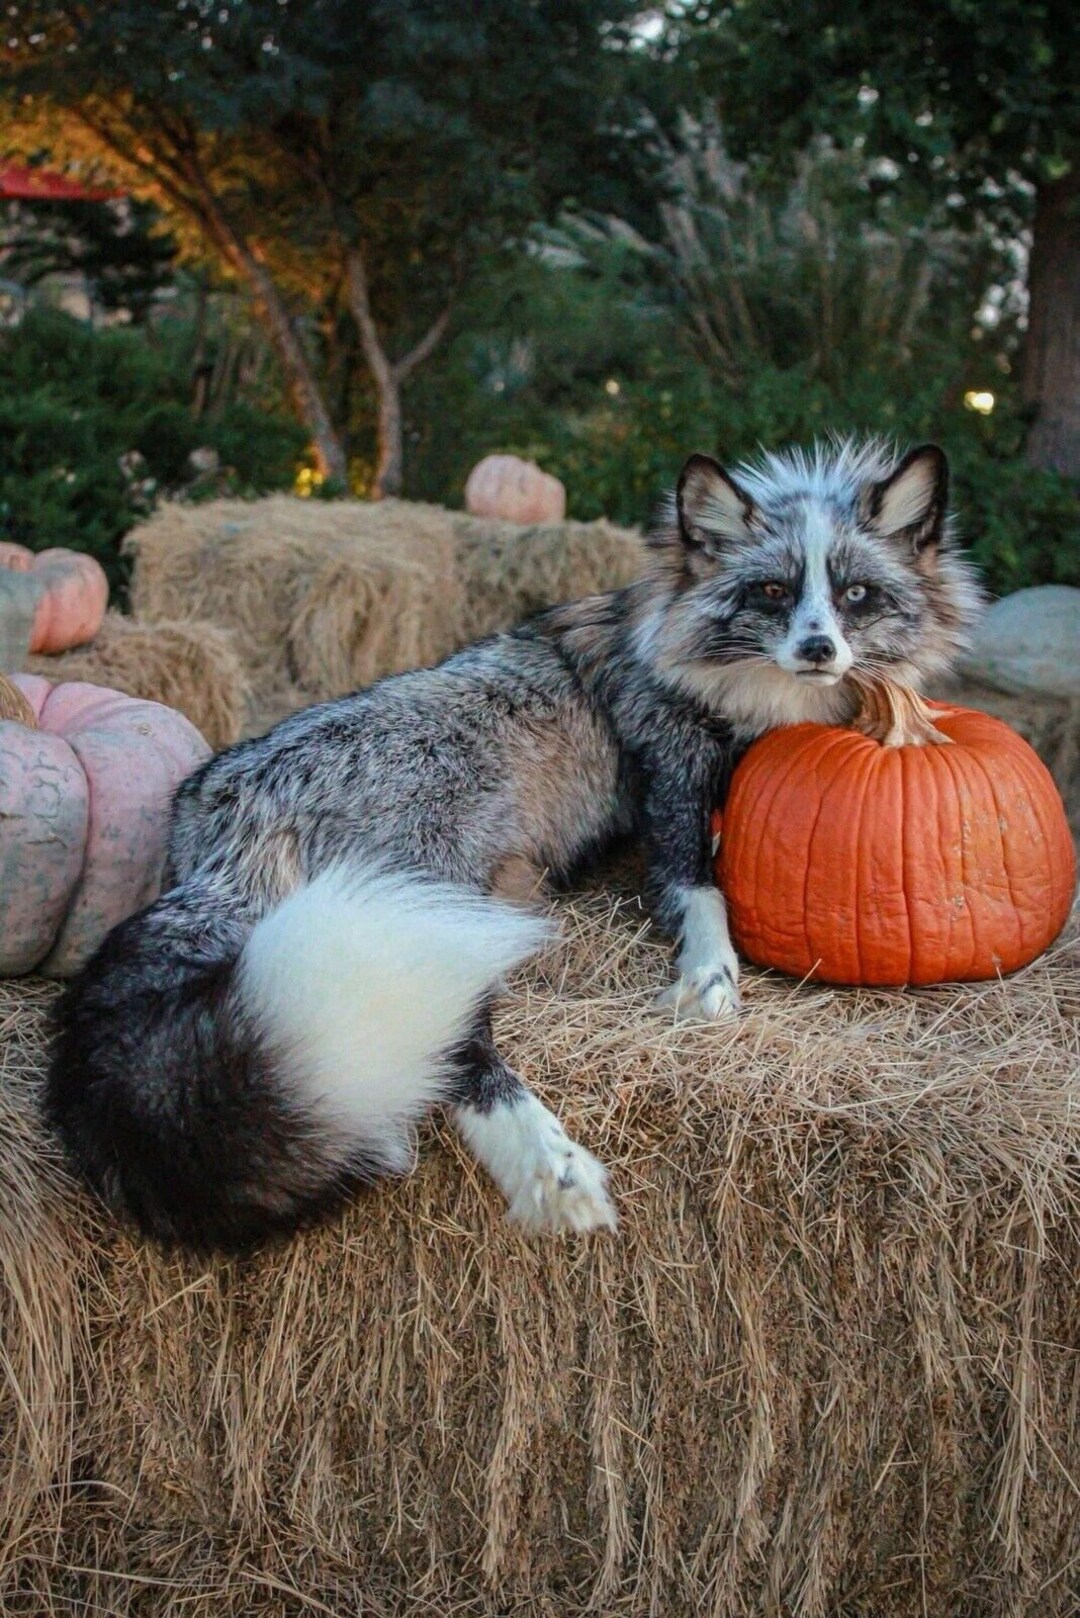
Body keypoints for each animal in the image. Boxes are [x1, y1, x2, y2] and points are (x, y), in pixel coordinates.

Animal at [46, 438, 981, 1251]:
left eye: (855, 595)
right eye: (774, 593)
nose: (820, 649)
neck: (754, 707)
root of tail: (226, 804)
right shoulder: (669, 781)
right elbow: (701, 888)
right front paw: (708, 977)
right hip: (423, 908)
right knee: (456, 1053)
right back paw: (550, 1169)